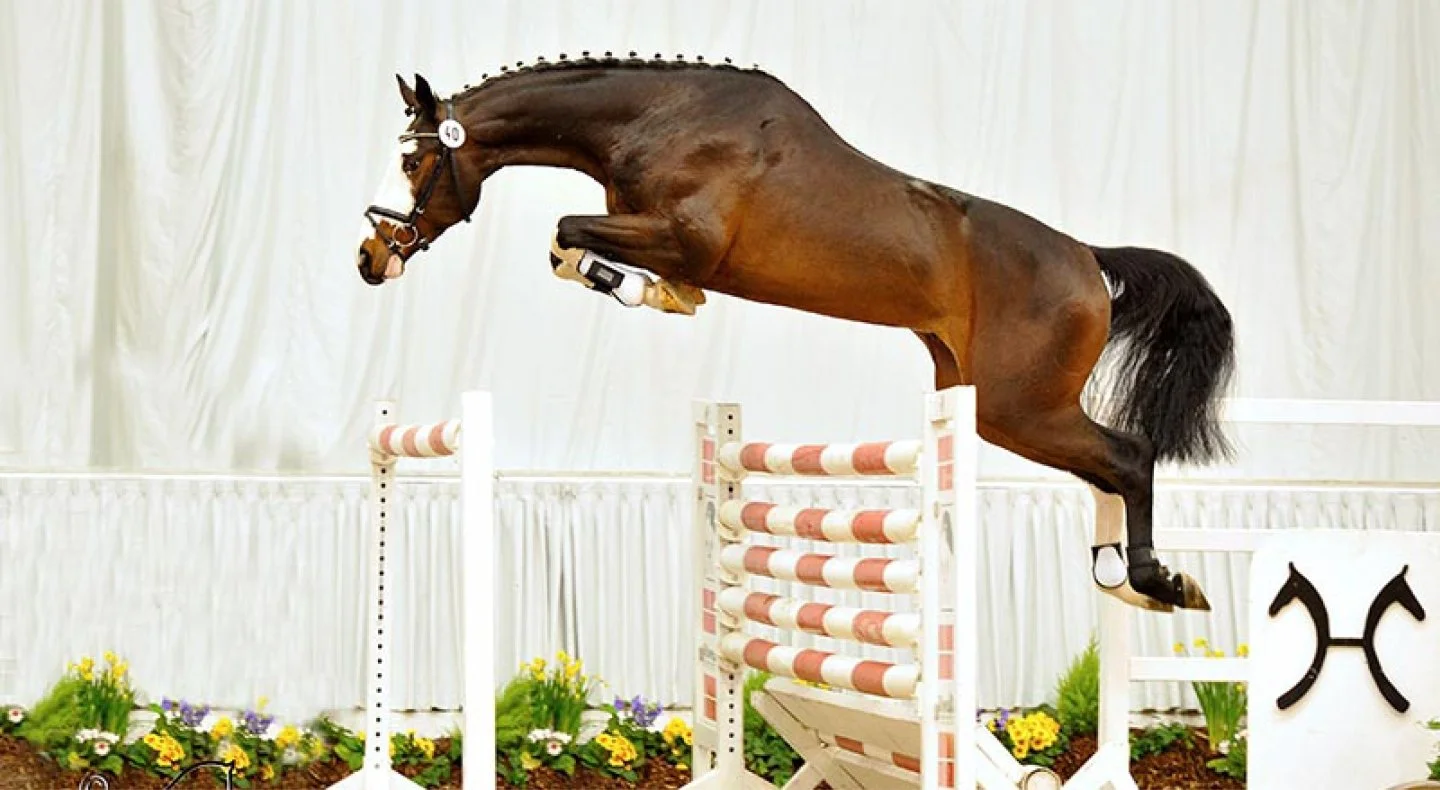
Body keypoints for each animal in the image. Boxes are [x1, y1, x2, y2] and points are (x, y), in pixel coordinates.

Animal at [355, 54, 1236, 614]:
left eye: (413, 165)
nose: (372, 257)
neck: (657, 118)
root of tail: (1087, 257)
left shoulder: (683, 238)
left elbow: (569, 233)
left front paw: (655, 293)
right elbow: (566, 243)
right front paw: (662, 296)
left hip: (1018, 408)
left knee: (1128, 456)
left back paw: (1158, 583)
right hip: (980, 394)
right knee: (1105, 470)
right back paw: (1120, 576)